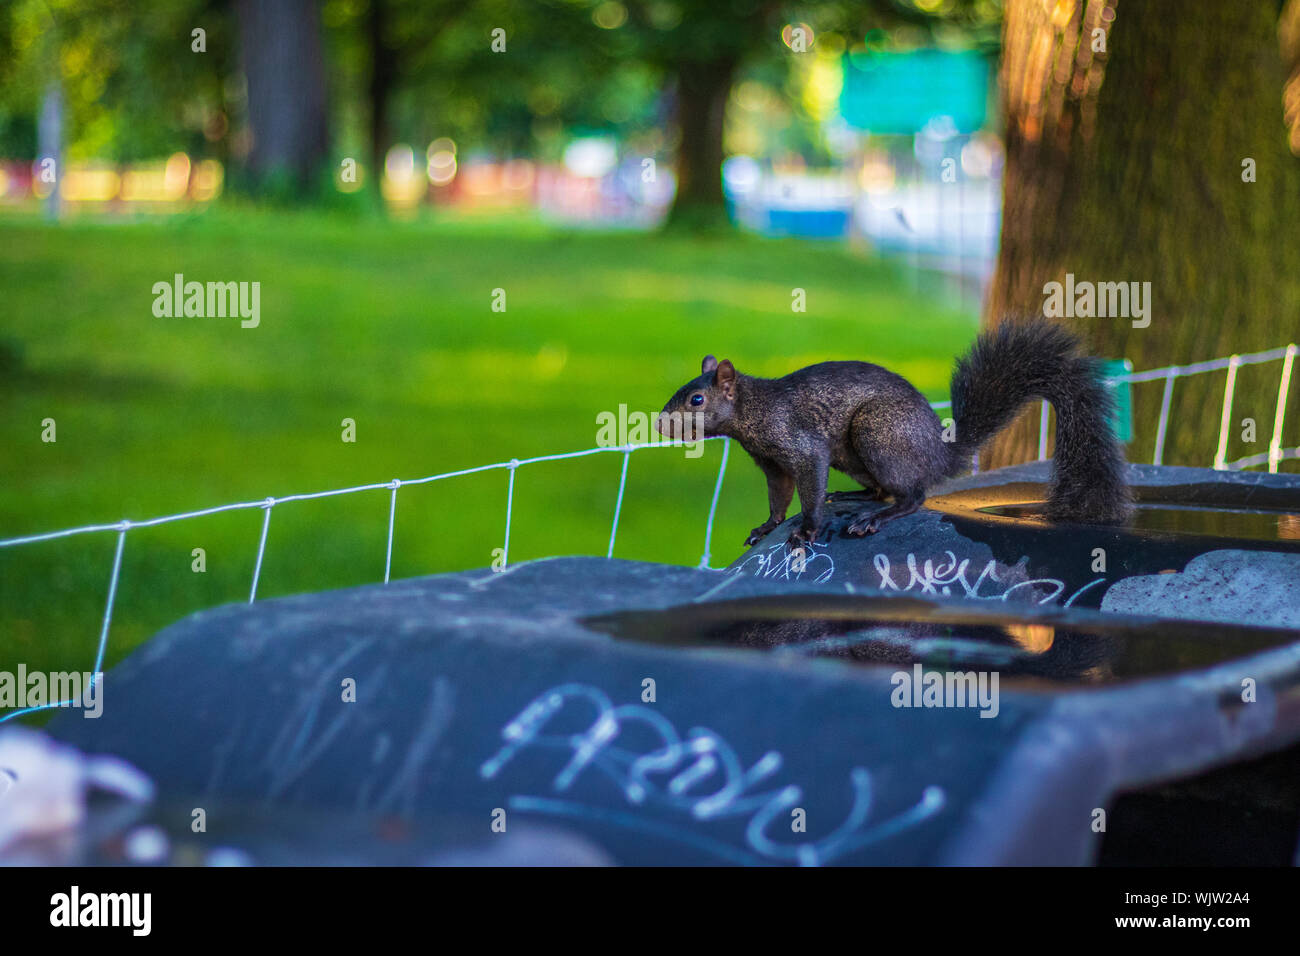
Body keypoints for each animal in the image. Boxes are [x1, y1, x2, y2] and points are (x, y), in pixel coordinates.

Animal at [656, 317, 1132, 554]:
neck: (754, 412)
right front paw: (766, 527)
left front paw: (807, 530)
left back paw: (876, 517)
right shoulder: (772, 464)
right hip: (857, 454)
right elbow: (778, 497)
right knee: (882, 489)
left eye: (696, 400)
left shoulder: (801, 446)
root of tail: (938, 453)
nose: (659, 424)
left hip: (878, 432)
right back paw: (855, 497)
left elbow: (808, 491)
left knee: (911, 496)